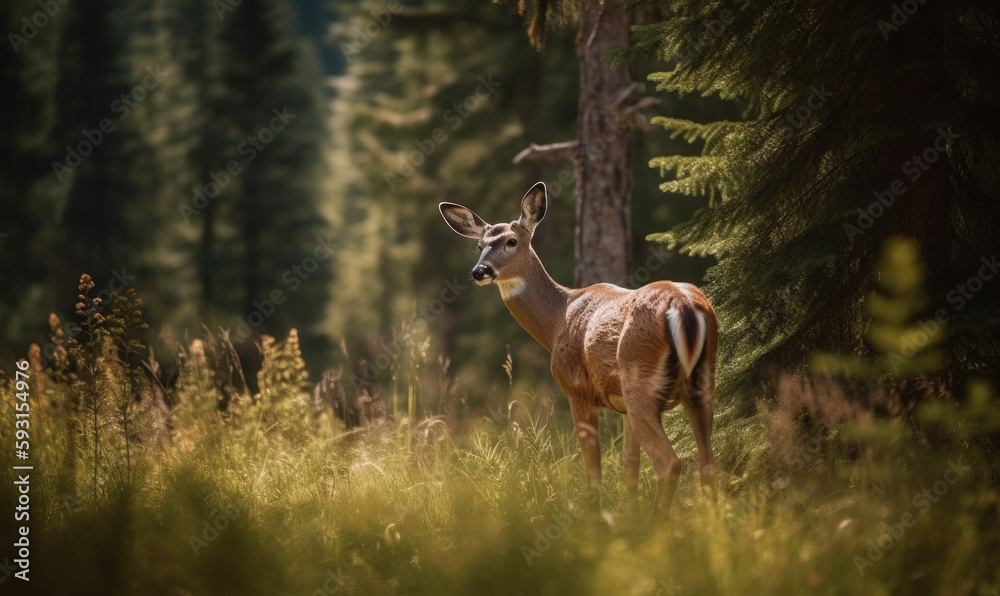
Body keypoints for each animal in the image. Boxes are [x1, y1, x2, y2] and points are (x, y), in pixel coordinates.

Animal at [439, 182, 718, 520]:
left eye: (511, 241)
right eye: (479, 245)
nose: (479, 271)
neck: (558, 318)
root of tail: (684, 305)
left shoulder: (576, 390)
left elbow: (593, 471)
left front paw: (595, 522)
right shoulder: (622, 408)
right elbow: (629, 466)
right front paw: (630, 518)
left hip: (640, 381)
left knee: (670, 463)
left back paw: (658, 525)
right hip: (702, 379)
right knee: (708, 464)